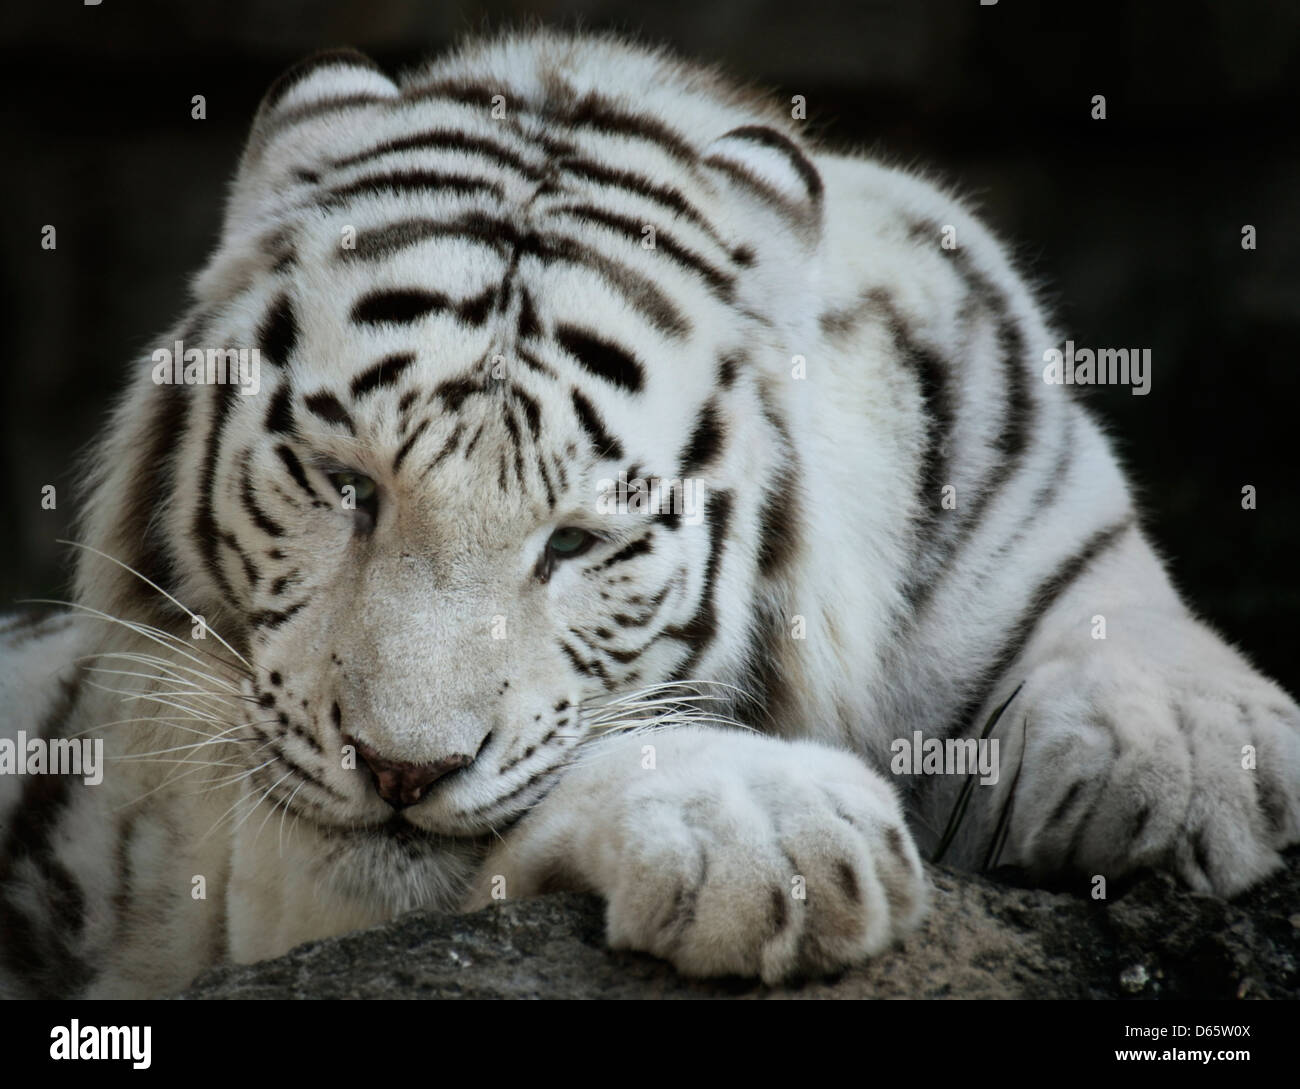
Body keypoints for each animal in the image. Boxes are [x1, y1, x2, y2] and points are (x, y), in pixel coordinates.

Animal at [2, 29, 1297, 999]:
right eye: (346, 486)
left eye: (578, 542)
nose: (401, 772)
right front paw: (766, 828)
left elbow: (1115, 612)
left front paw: (1184, 761)